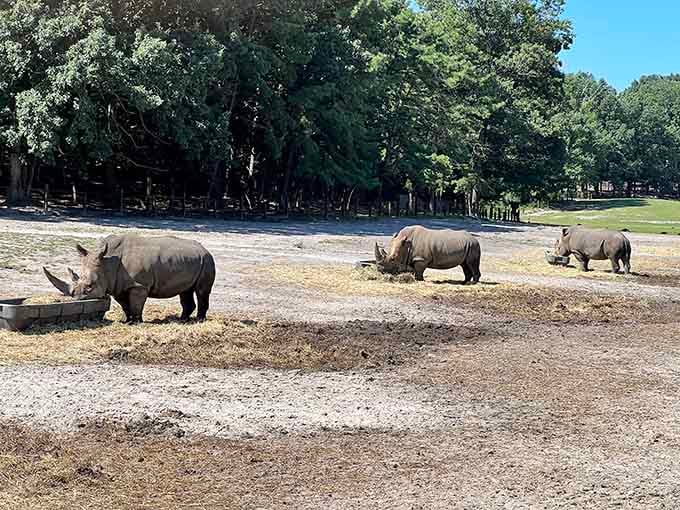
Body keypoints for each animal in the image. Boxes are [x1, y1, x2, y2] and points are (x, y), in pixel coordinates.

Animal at [44, 234, 216, 323]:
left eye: (90, 286)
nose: (77, 299)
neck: (107, 264)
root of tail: (204, 248)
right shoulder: (117, 285)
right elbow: (125, 304)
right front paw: (126, 320)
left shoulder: (139, 285)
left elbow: (136, 304)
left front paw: (136, 322)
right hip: (191, 260)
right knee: (185, 291)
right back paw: (182, 320)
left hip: (207, 260)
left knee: (201, 291)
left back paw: (199, 320)